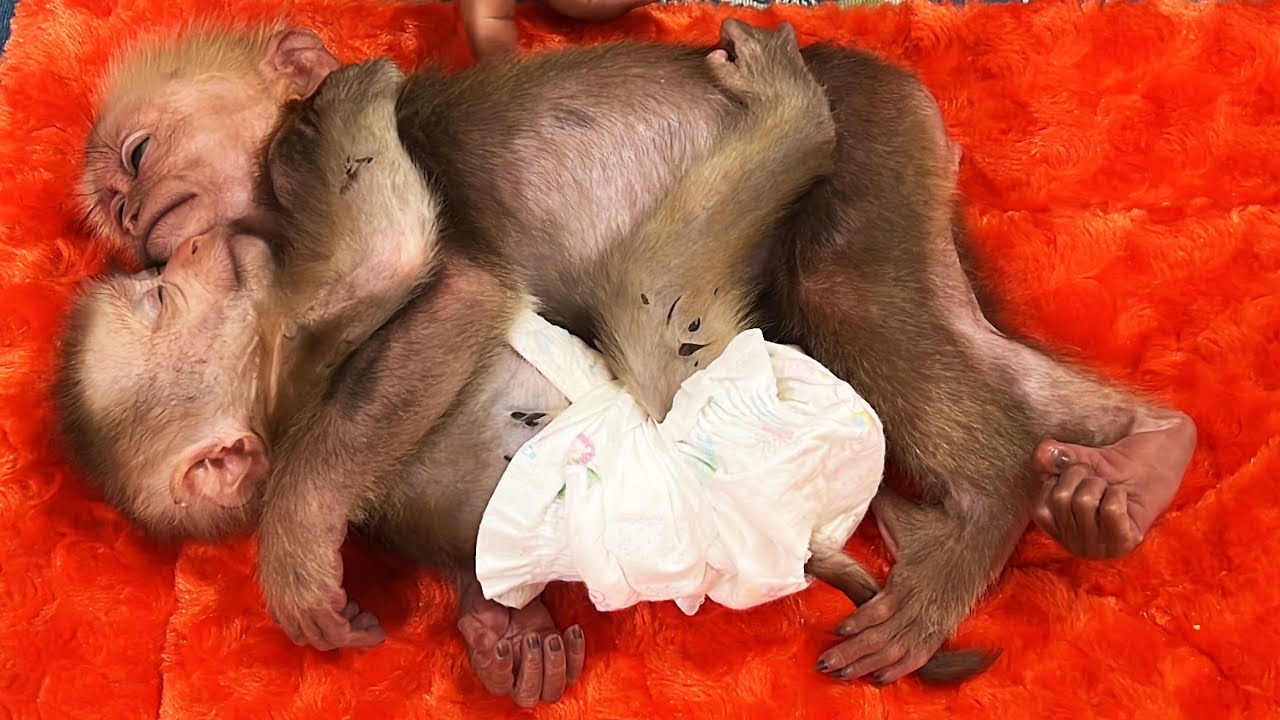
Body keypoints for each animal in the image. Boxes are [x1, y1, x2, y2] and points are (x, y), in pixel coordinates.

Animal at [71, 17, 1198, 688]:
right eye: (118, 218)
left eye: (138, 158)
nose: (140, 222)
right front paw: (507, 636)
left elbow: (451, 293)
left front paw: (297, 533)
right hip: (898, 173)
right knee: (948, 325)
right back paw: (1137, 465)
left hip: (870, 133)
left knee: (847, 290)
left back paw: (996, 503)